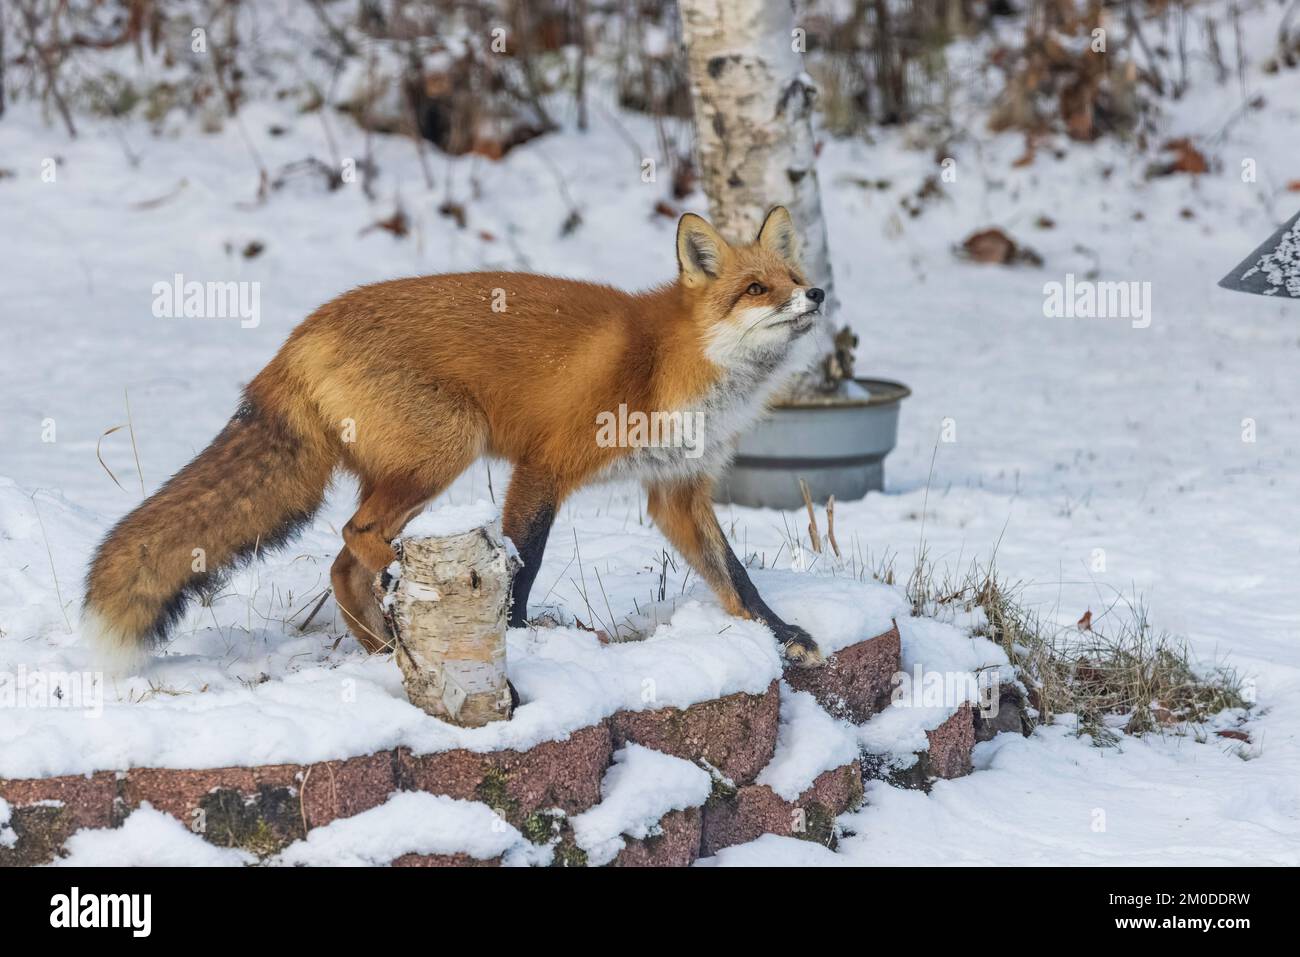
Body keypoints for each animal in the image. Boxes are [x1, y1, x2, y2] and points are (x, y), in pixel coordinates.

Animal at [83, 206, 828, 679]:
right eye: (756, 288)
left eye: (792, 279)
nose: (817, 294)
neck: (670, 363)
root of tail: (298, 336)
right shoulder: (545, 465)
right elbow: (525, 561)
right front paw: (519, 635)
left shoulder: (676, 488)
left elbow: (734, 576)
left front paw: (784, 637)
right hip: (449, 446)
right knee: (356, 536)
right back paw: (408, 592)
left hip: (415, 466)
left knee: (342, 565)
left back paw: (384, 647)